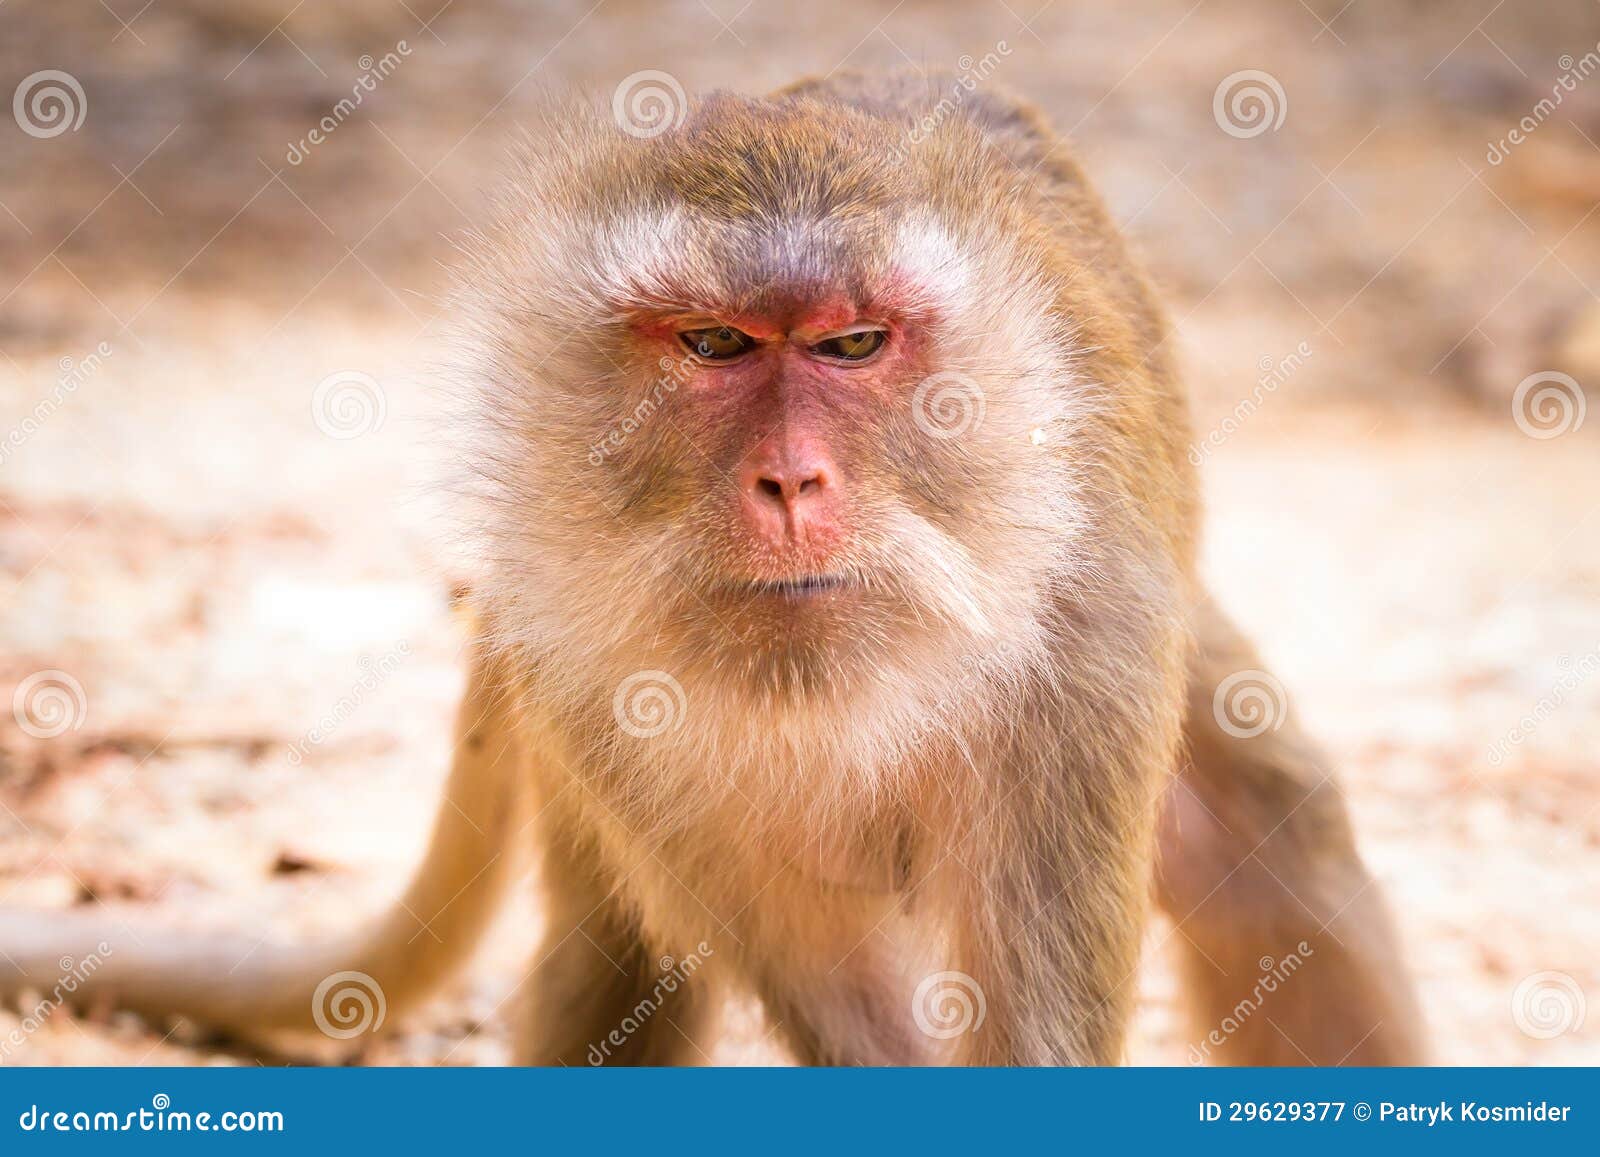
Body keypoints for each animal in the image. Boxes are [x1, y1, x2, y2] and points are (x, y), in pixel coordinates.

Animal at [0, 72, 1424, 1066]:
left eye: (853, 344)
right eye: (713, 343)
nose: (789, 482)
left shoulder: (1092, 640)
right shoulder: (590, 693)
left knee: (1278, 847)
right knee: (617, 962)